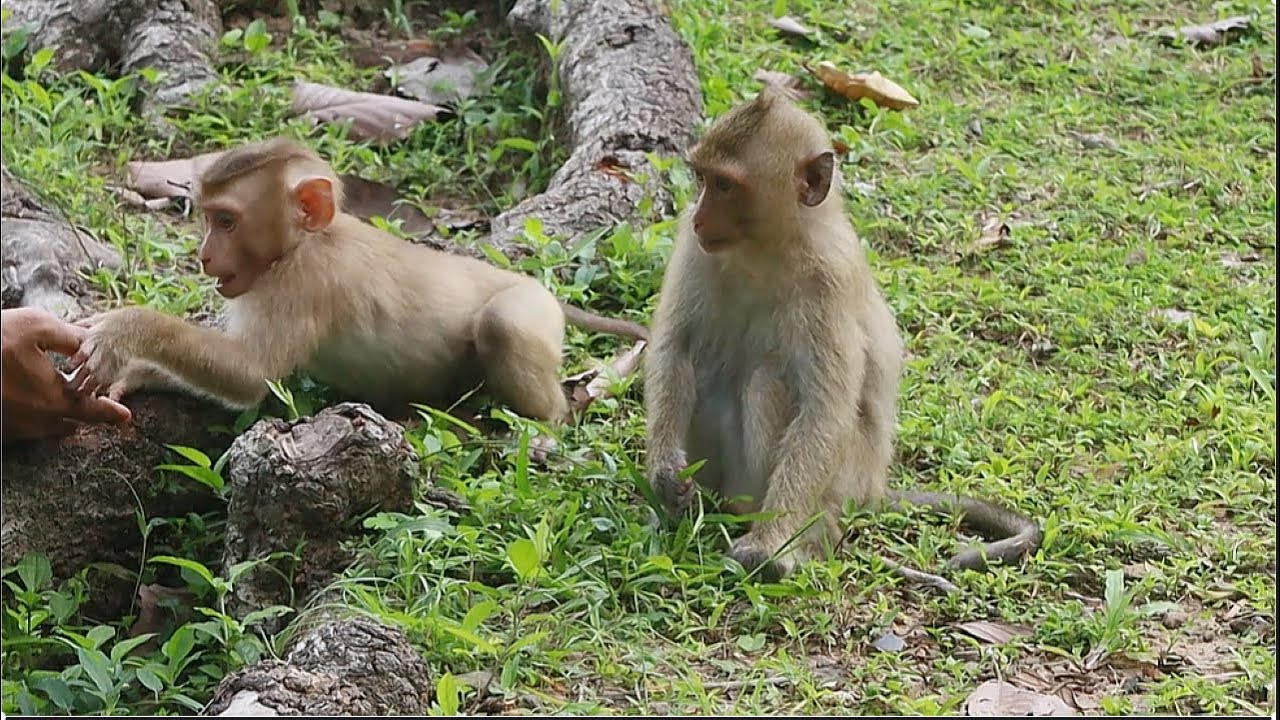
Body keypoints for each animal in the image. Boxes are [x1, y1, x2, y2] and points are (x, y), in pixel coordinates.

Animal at [68, 137, 649, 425]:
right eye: (207, 219)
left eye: (226, 221)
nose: (205, 255)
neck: (302, 245)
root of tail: (537, 288)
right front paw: (140, 371)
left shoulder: (304, 283)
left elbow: (251, 375)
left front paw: (126, 332)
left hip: (530, 307)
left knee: (502, 324)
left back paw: (550, 422)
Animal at [643, 87, 1042, 581]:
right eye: (702, 179)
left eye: (724, 186)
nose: (698, 217)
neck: (767, 250)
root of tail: (874, 488)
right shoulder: (694, 250)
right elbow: (674, 348)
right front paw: (664, 471)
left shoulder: (829, 280)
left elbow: (823, 411)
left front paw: (770, 545)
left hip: (845, 483)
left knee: (767, 381)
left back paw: (804, 535)